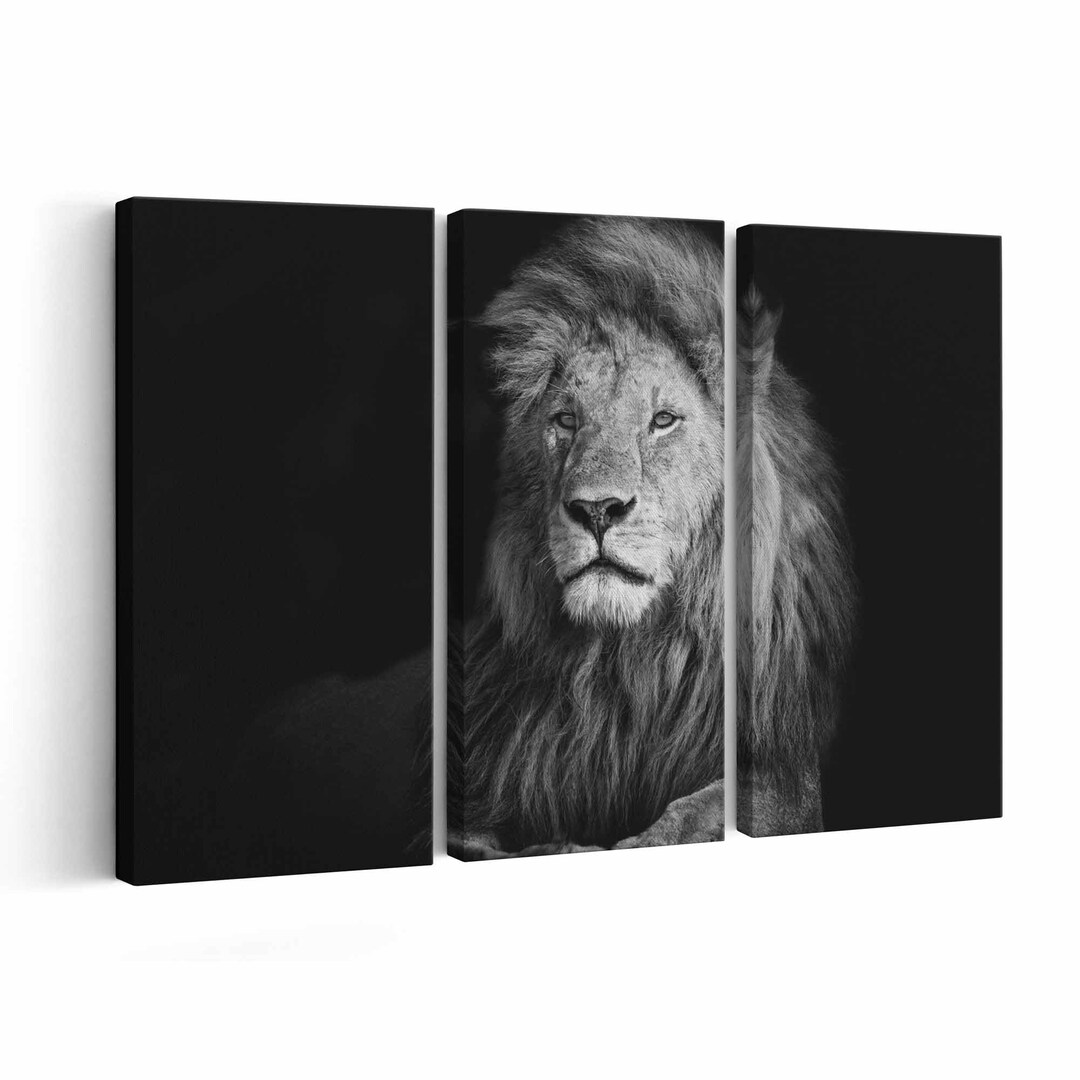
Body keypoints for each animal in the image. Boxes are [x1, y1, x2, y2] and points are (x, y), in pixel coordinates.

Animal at [448, 216, 854, 858]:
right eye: (566, 420)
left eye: (662, 420)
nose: (596, 509)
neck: (627, 668)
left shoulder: (786, 771)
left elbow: (706, 810)